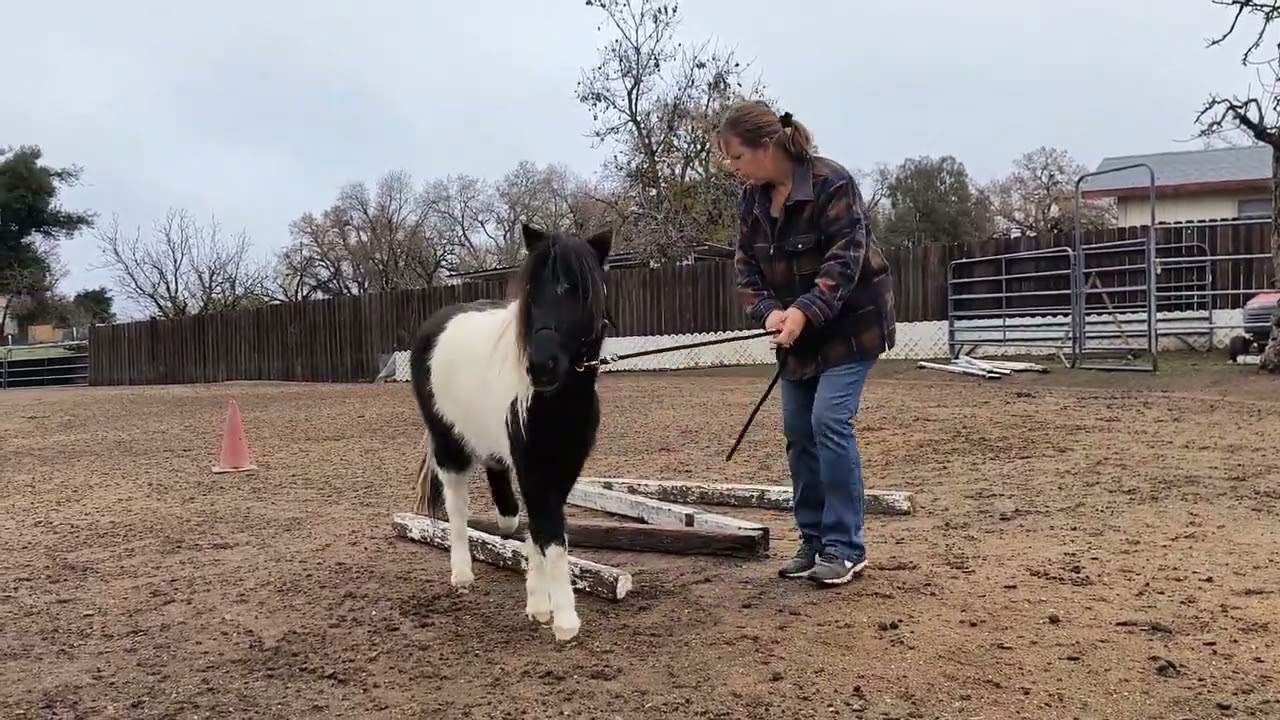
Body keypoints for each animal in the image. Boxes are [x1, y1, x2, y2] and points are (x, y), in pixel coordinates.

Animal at [407, 222, 613, 642]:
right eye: (532, 290)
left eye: (582, 290)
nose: (541, 366)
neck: (556, 402)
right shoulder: (533, 466)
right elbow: (551, 536)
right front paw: (565, 620)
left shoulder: (563, 468)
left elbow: (540, 530)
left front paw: (538, 606)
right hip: (449, 446)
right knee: (457, 508)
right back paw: (462, 573)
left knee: (503, 491)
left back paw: (505, 521)